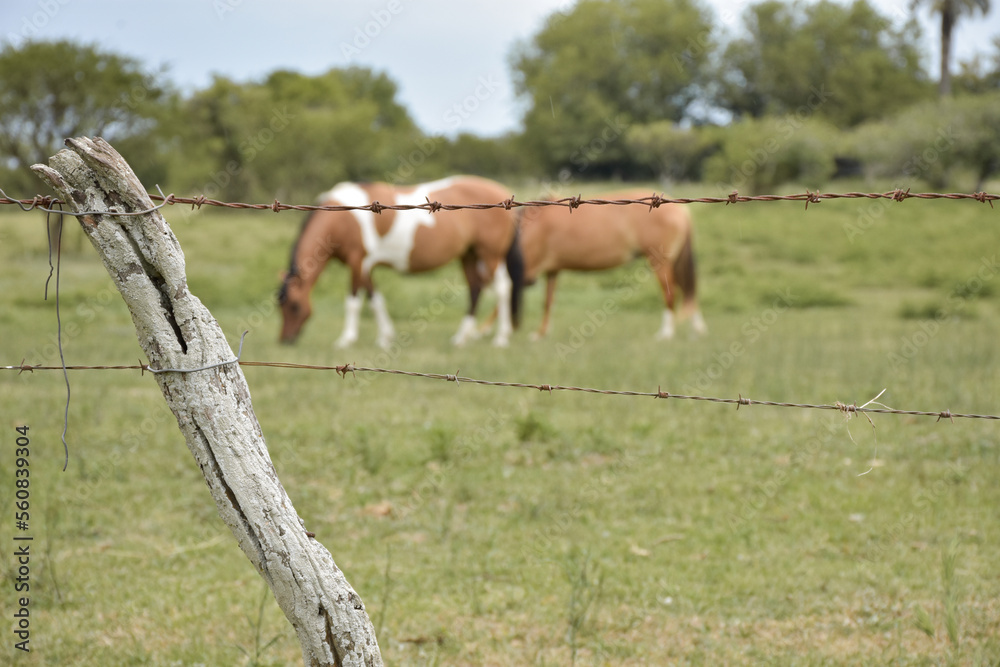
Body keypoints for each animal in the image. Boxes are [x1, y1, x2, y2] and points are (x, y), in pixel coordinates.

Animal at [278, 176, 524, 348]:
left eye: (295, 306)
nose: (285, 340)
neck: (342, 218)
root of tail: (501, 194)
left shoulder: (358, 262)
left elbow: (353, 302)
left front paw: (346, 339)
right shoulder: (366, 266)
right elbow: (375, 299)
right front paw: (385, 337)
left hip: (490, 254)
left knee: (502, 288)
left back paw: (501, 338)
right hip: (470, 255)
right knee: (475, 289)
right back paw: (461, 337)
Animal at [517, 191, 707, 340]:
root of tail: (681, 211)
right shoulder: (552, 270)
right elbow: (548, 302)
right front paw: (540, 334)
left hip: (660, 262)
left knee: (671, 293)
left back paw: (666, 334)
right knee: (687, 290)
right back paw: (697, 329)